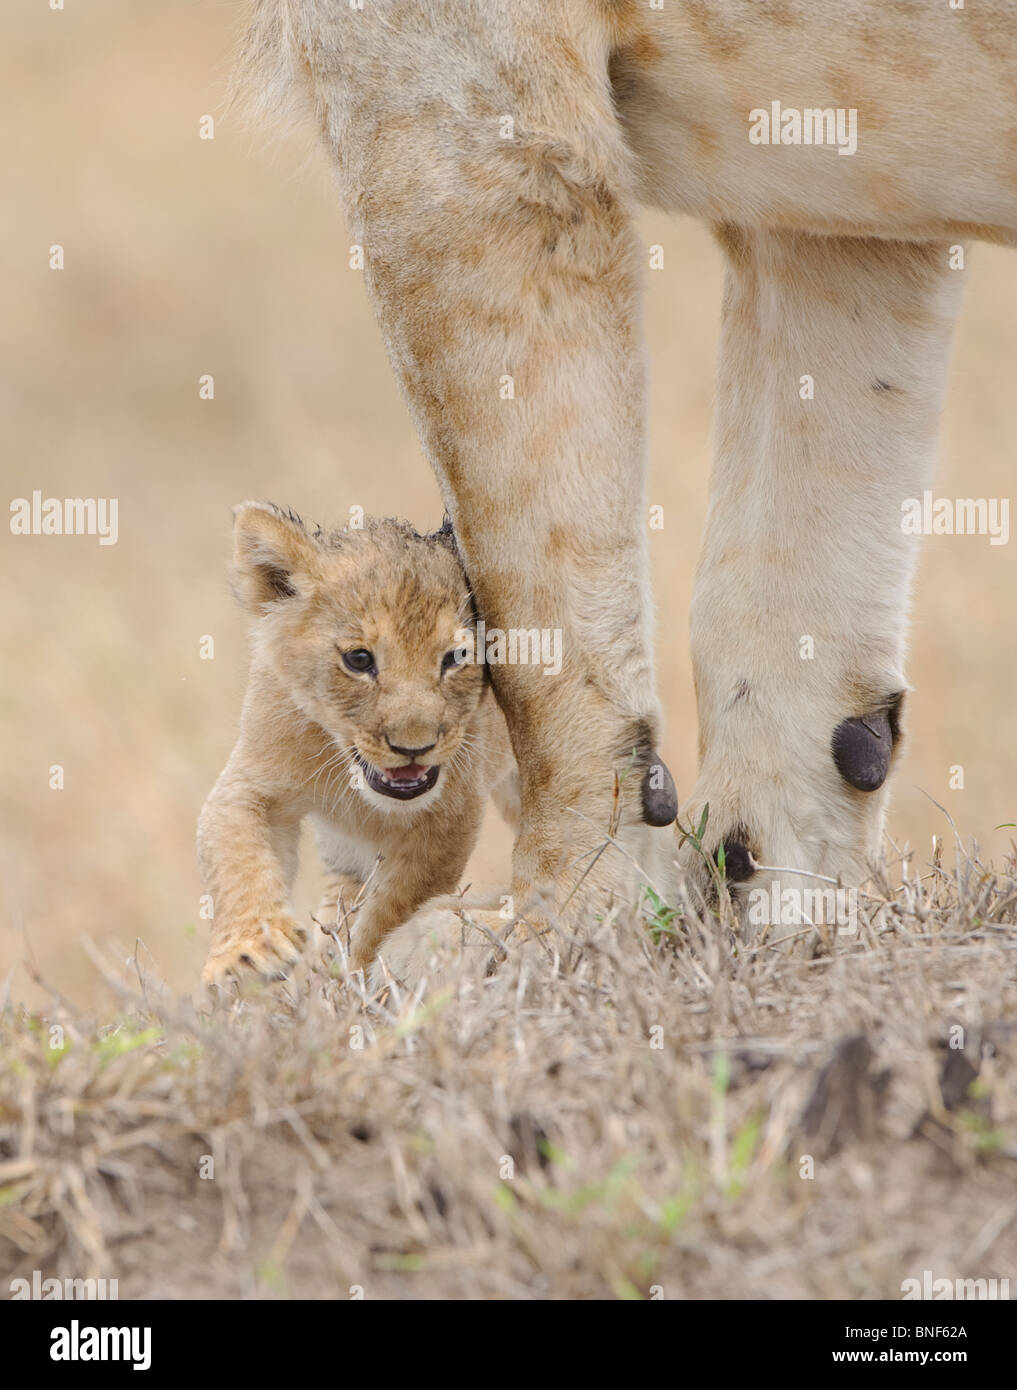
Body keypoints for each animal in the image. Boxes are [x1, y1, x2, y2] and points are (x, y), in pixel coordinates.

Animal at [198, 501, 518, 986]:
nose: (413, 747)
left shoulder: (450, 821)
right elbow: (236, 855)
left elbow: (389, 913)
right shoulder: (252, 781)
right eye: (359, 659)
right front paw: (249, 952)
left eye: (457, 657)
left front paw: (361, 980)